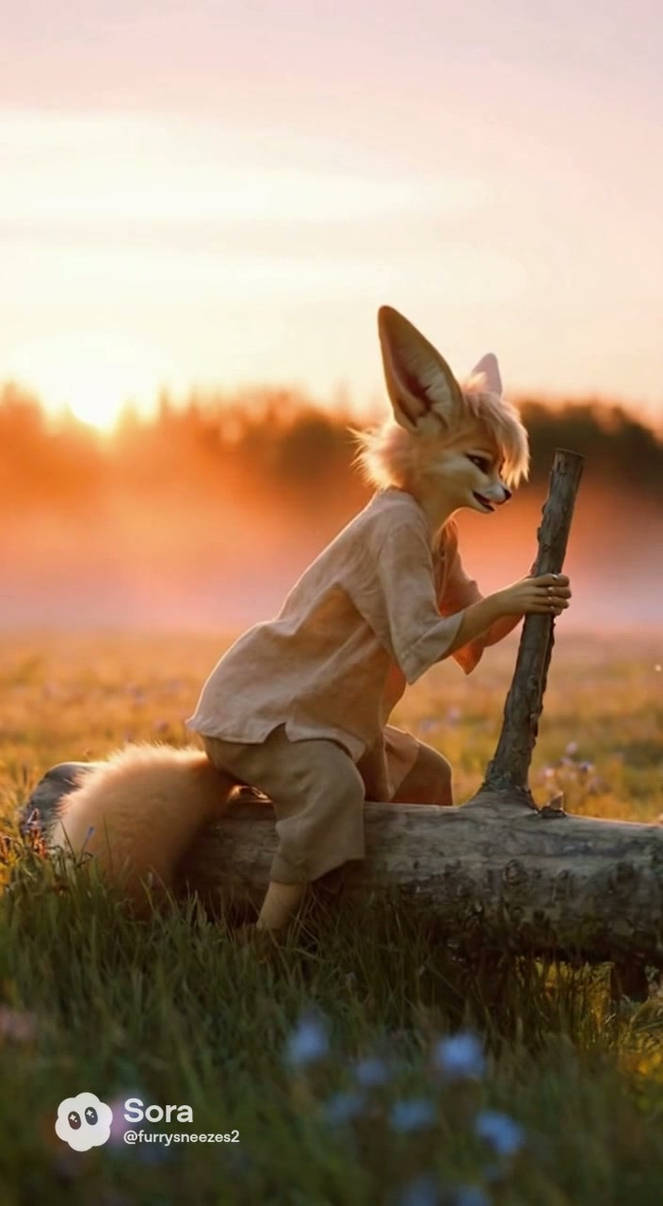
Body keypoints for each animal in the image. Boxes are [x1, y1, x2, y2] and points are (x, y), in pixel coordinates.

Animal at [47, 305, 572, 928]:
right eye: (479, 461)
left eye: (501, 465)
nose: (505, 496)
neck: (422, 506)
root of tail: (213, 757)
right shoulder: (398, 546)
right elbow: (426, 633)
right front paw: (523, 593)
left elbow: (472, 619)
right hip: (290, 761)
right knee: (317, 825)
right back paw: (265, 941)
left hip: (385, 756)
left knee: (420, 775)